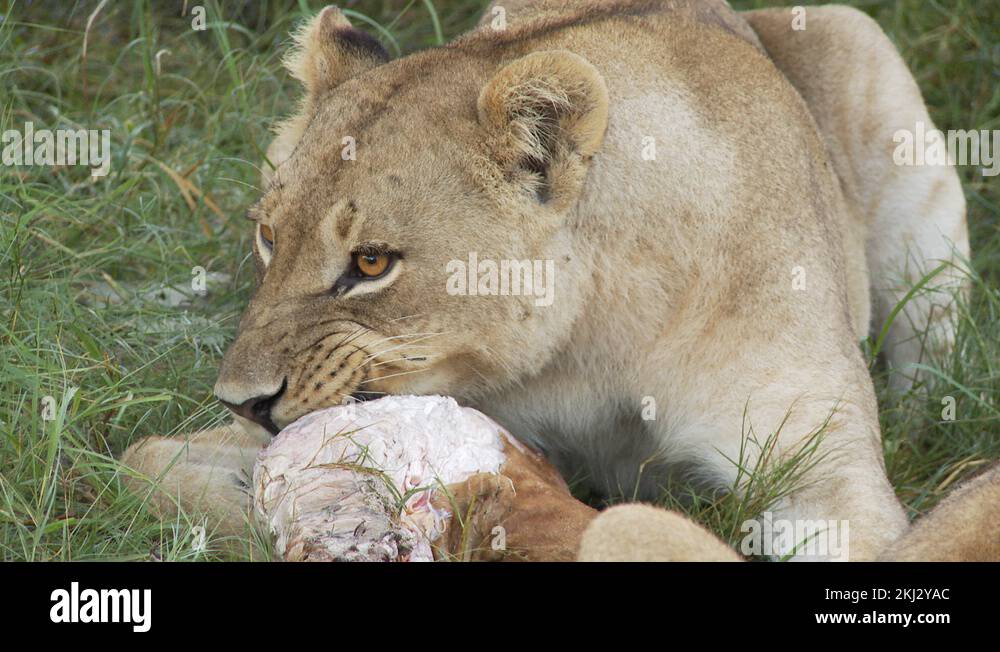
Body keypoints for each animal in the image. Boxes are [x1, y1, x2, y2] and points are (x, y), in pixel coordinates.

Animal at [122, 1, 977, 561]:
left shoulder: (825, 475)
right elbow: (144, 462)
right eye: (269, 237)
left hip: (868, 60)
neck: (588, 343)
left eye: (370, 263)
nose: (242, 401)